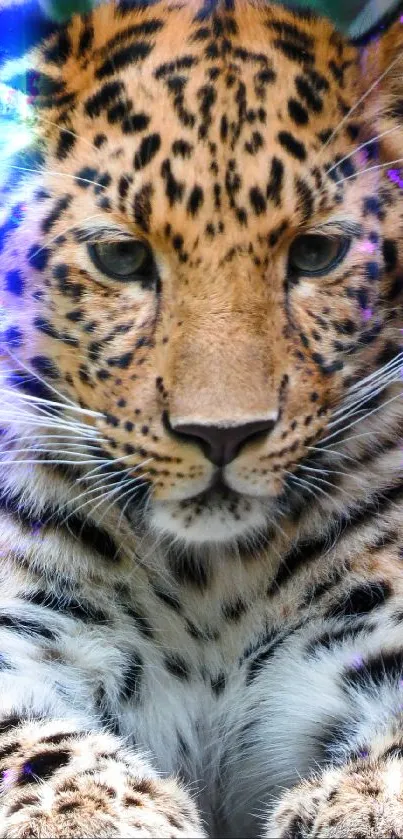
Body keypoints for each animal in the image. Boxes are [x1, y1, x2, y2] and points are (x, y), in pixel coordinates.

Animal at [0, 0, 402, 835]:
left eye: (315, 254)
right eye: (121, 259)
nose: (223, 434)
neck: (209, 584)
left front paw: (358, 805)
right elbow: (34, 739)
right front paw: (98, 813)